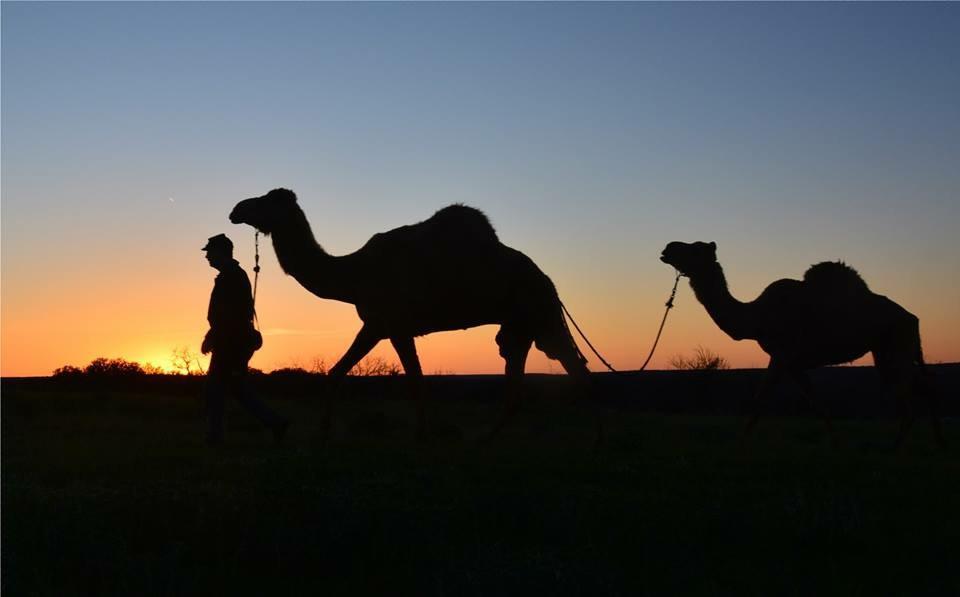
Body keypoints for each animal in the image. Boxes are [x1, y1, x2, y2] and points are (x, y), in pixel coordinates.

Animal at [230, 188, 592, 437]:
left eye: (267, 199)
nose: (236, 208)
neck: (354, 273)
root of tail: (547, 280)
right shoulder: (381, 326)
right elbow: (343, 371)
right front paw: (325, 430)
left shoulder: (391, 324)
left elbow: (411, 380)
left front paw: (421, 434)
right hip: (524, 324)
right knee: (546, 371)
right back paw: (489, 438)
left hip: (537, 312)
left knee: (574, 369)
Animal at [659, 241, 944, 447]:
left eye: (695, 249)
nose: (668, 247)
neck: (757, 316)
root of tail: (912, 318)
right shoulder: (794, 364)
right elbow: (816, 401)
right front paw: (836, 442)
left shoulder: (782, 354)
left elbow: (759, 400)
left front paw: (738, 444)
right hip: (888, 350)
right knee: (924, 385)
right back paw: (935, 442)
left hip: (896, 345)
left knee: (909, 394)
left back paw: (896, 447)